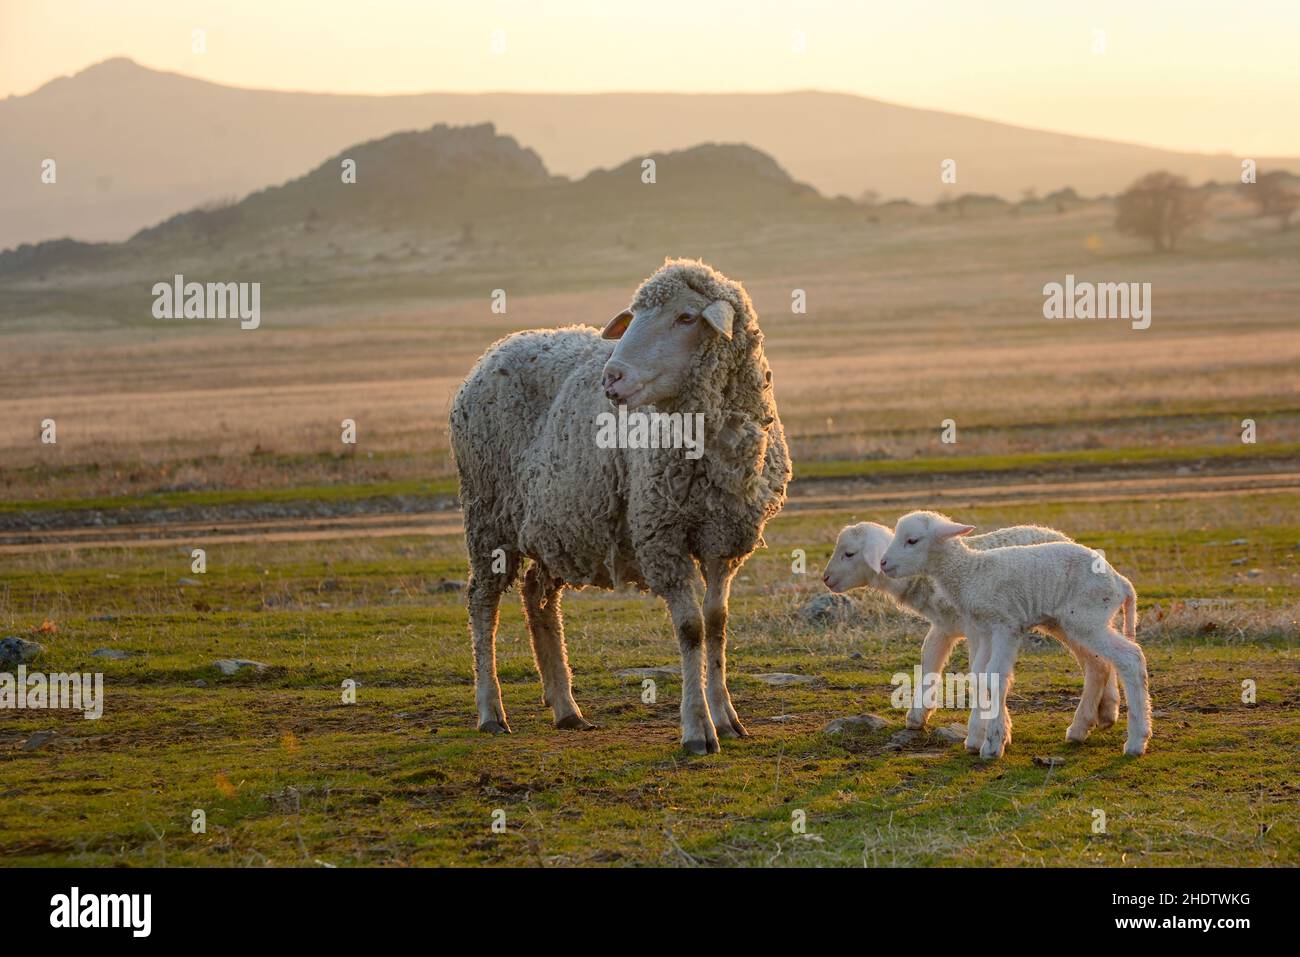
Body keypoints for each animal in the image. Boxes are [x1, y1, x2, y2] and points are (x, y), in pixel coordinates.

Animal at [449, 258, 790, 754]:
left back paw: (566, 707)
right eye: (635, 316)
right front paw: (697, 729)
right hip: (487, 514)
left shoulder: (724, 541)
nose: (611, 377)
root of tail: (494, 351)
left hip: (559, 523)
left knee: (537, 596)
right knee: (482, 602)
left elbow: (716, 624)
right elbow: (691, 629)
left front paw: (727, 717)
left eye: (686, 317)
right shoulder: (661, 534)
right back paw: (491, 710)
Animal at [822, 521, 1120, 746]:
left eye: (849, 554)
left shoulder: (975, 625)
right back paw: (1105, 712)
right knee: (1101, 659)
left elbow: (982, 672)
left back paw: (1087, 721)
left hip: (1069, 619)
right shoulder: (943, 627)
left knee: (1098, 662)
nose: (826, 579)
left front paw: (989, 728)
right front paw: (918, 714)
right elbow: (930, 660)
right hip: (1062, 621)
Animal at [878, 510, 1150, 759]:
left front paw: (992, 744)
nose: (883, 563)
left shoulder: (1005, 625)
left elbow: (995, 676)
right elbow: (979, 675)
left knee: (1130, 658)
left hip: (1087, 617)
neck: (970, 573)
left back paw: (1137, 740)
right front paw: (979, 737)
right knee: (1101, 665)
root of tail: (1121, 582)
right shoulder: (985, 630)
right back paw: (1079, 730)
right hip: (1074, 622)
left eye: (912, 540)